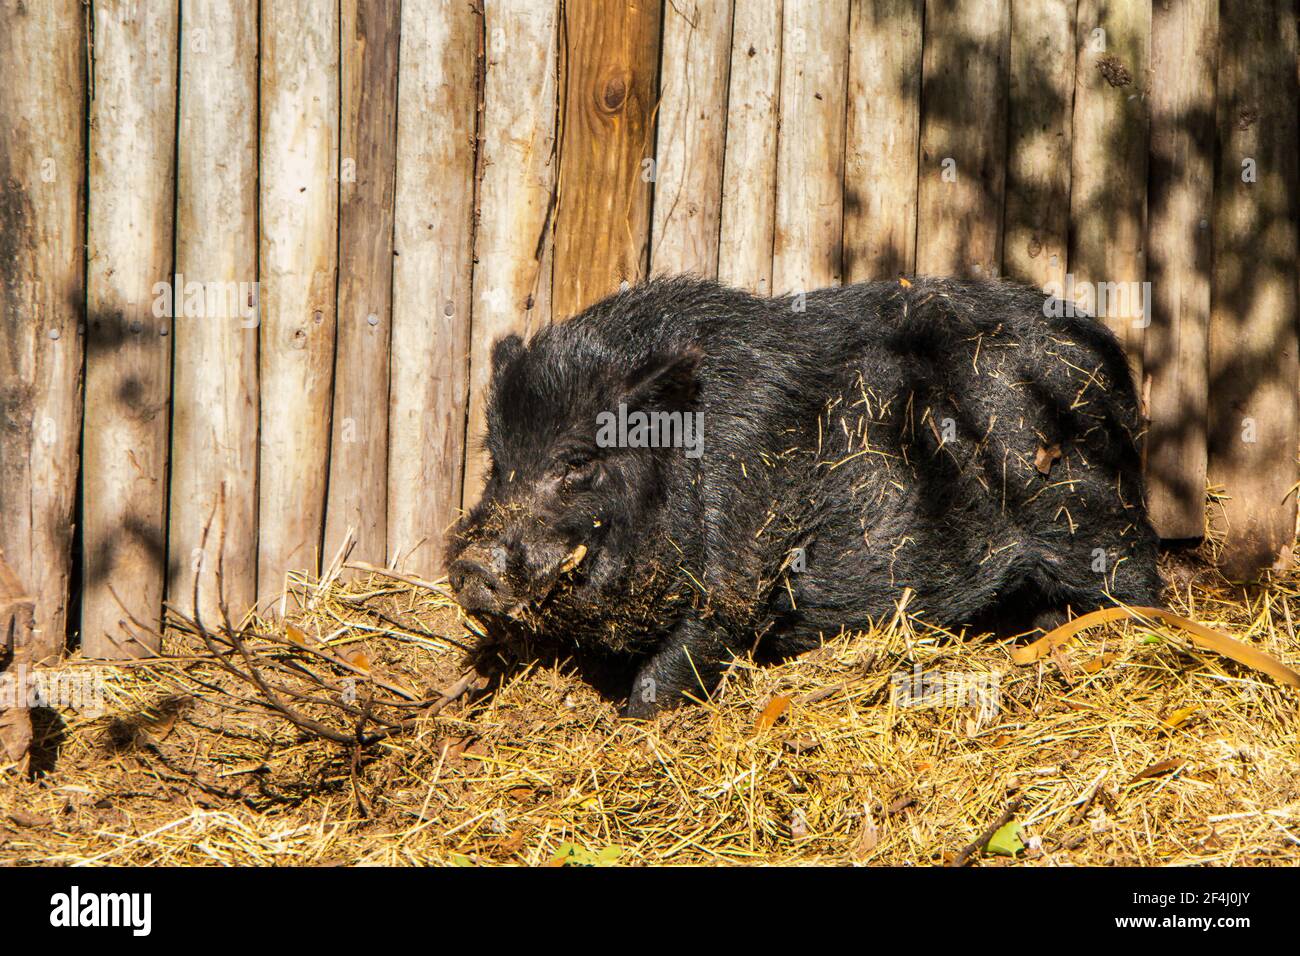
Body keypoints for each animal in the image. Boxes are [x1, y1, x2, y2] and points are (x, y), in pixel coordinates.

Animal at [446, 276, 1162, 718]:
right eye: (498, 462)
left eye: (576, 464)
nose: (469, 566)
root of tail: (1110, 359)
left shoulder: (739, 569)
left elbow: (679, 661)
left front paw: (631, 722)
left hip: (1092, 519)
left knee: (1138, 587)